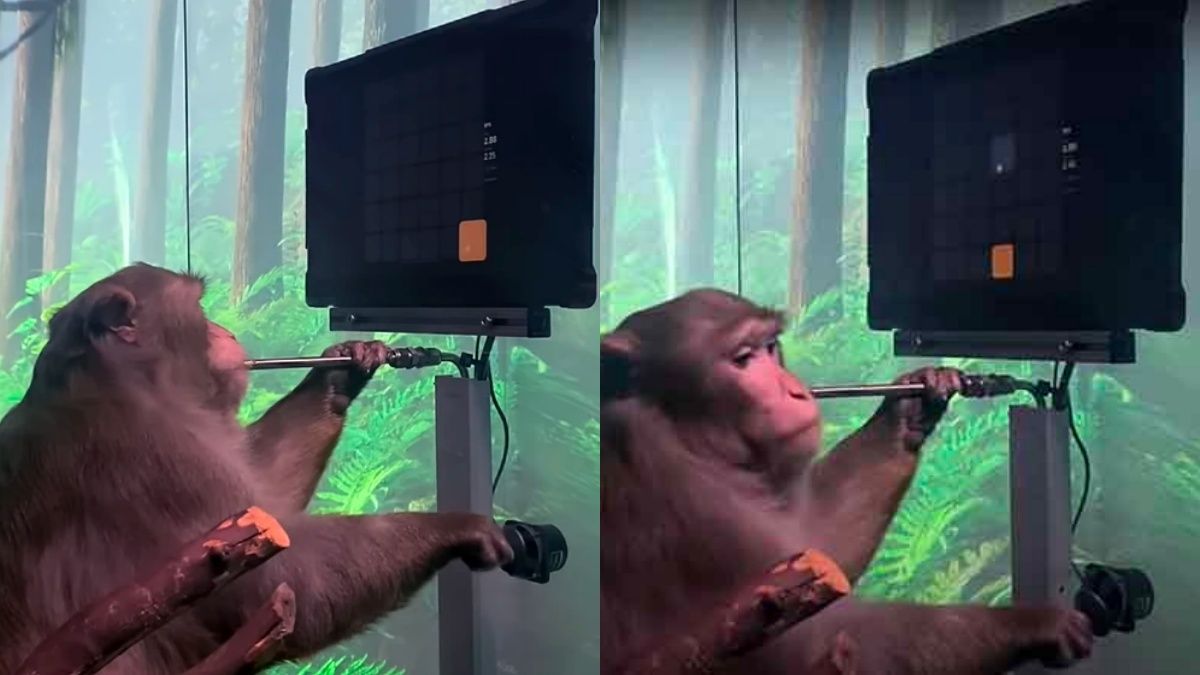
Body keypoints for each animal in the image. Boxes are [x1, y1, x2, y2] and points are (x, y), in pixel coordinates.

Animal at [0, 263, 514, 673]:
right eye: (199, 307)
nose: (224, 331)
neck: (123, 381)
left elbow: (266, 497)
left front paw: (342, 370)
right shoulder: (156, 457)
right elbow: (290, 579)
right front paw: (457, 527)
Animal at [600, 288, 1094, 674]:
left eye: (771, 347)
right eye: (743, 359)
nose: (795, 389)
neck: (681, 431)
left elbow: (819, 547)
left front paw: (912, 404)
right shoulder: (689, 505)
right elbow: (823, 638)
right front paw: (1034, 623)